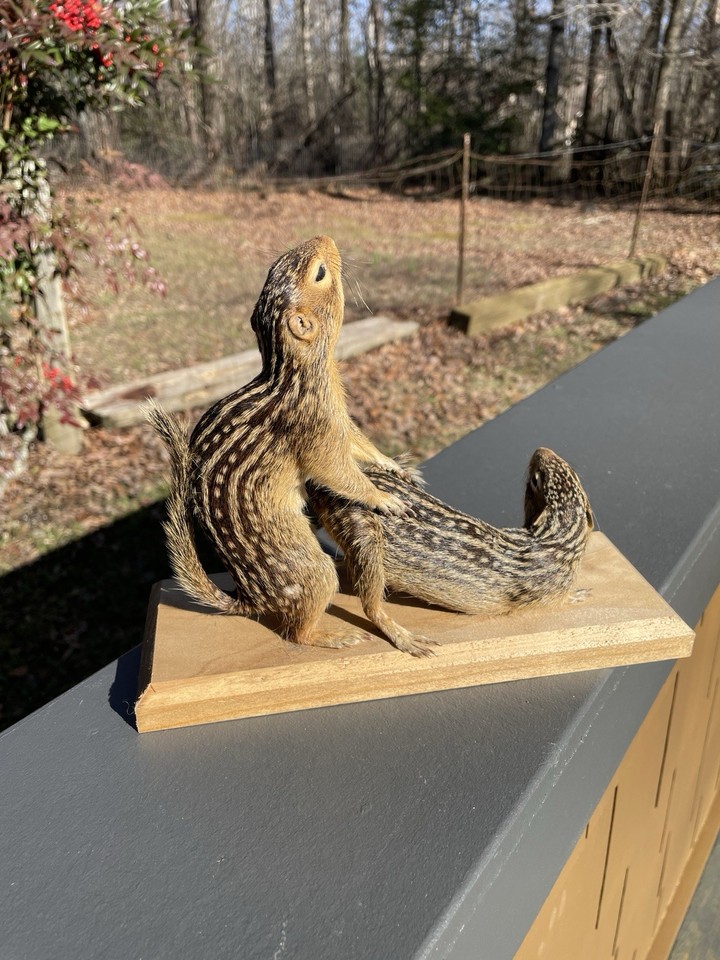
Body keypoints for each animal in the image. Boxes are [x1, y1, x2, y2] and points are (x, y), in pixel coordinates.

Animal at [146, 235, 416, 650]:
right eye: (319, 273)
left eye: (276, 264)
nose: (326, 237)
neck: (293, 371)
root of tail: (249, 598)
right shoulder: (316, 431)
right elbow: (337, 471)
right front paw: (384, 498)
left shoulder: (339, 420)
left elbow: (359, 444)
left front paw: (391, 465)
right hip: (313, 569)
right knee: (296, 633)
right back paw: (334, 637)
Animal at [307, 448, 594, 657]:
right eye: (537, 479)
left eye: (571, 471)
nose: (540, 449)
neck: (560, 542)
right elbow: (556, 600)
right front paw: (577, 594)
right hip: (364, 533)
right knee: (370, 605)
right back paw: (406, 638)